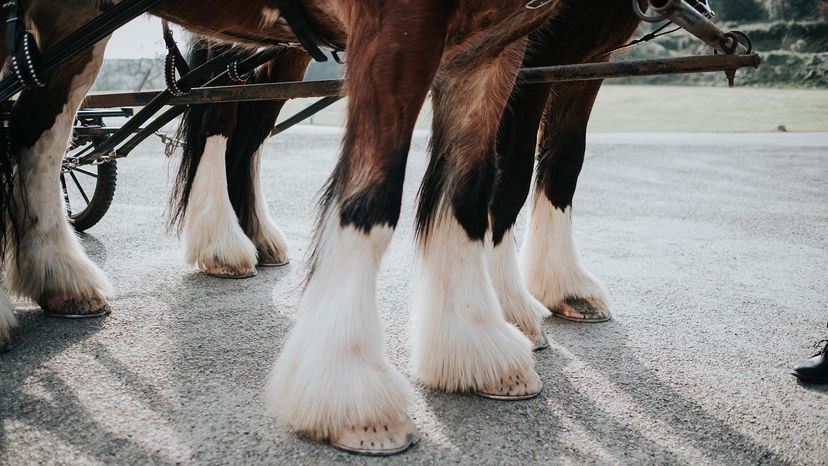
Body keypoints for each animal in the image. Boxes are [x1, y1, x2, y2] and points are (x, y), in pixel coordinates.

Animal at [0, 0, 640, 456]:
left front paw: (477, 343)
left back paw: (62, 276)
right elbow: (376, 196)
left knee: (41, 135)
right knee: (206, 124)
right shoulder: (406, 27)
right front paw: (350, 387)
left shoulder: (503, 45)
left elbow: (479, 187)